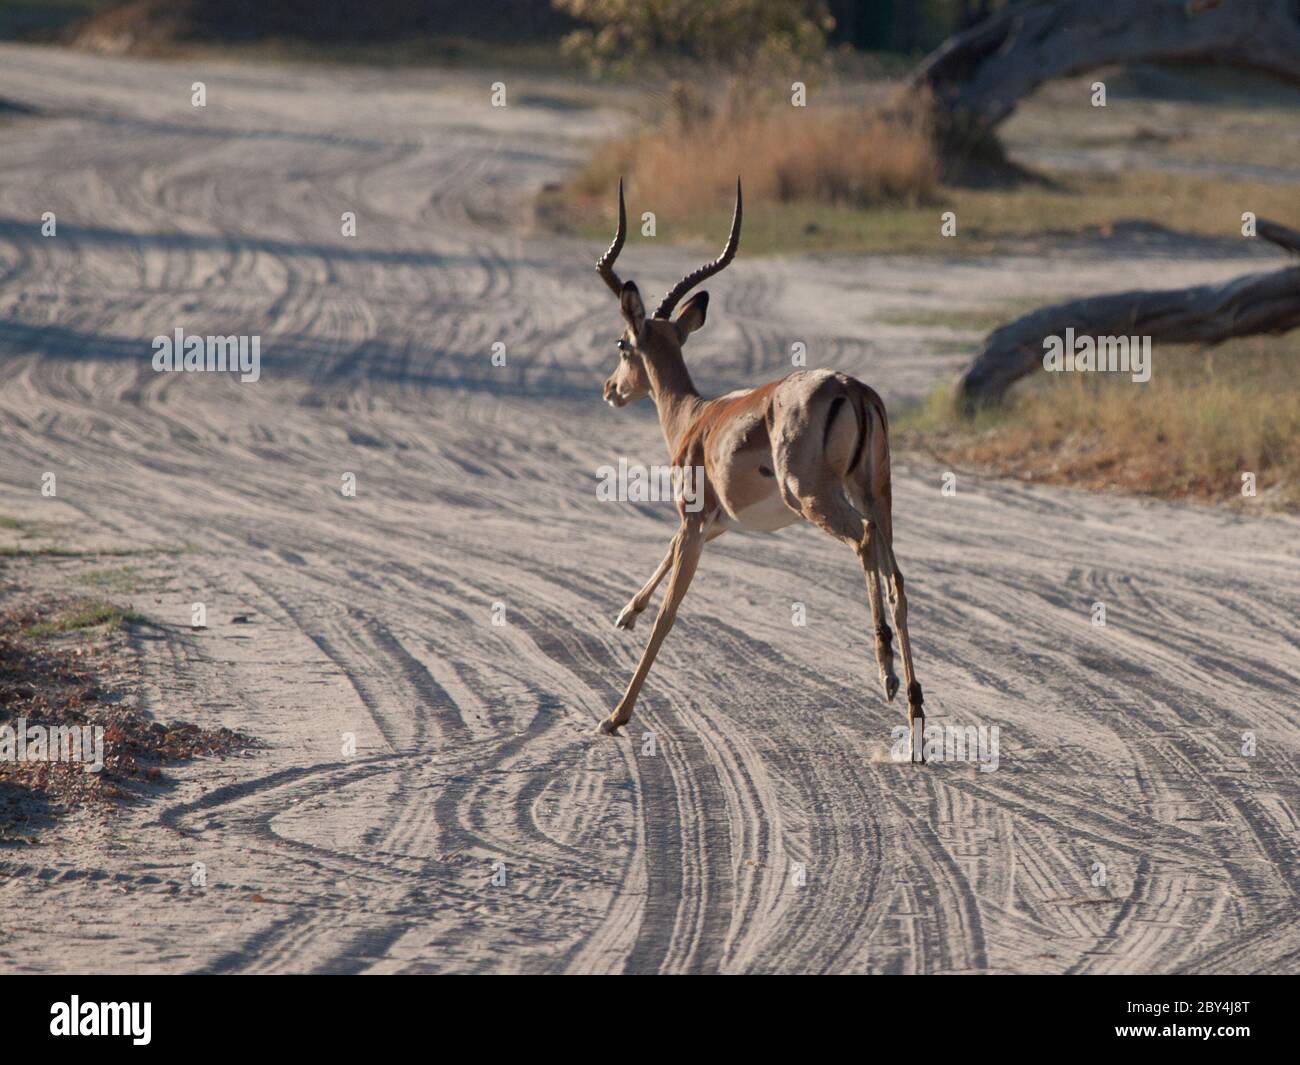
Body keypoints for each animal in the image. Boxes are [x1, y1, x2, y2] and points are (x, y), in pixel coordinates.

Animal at [594, 180, 926, 761]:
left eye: (622, 343)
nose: (611, 389)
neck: (694, 417)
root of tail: (853, 389)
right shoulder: (717, 525)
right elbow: (664, 559)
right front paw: (625, 613)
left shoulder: (694, 520)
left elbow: (669, 613)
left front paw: (615, 716)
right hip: (876, 494)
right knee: (898, 579)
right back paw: (914, 715)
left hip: (816, 498)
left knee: (864, 544)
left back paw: (885, 676)